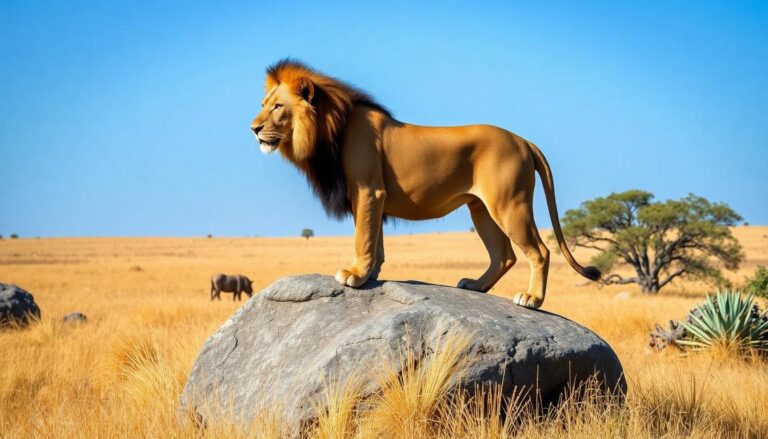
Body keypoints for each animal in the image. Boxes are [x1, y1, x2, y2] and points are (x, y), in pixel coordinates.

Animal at [250, 59, 600, 309]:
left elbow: (363, 237)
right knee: (504, 256)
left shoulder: (368, 190)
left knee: (540, 251)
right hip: (481, 209)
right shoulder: (374, 196)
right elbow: (375, 240)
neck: (332, 126)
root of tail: (524, 141)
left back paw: (532, 299)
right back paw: (476, 285)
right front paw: (371, 274)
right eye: (263, 103)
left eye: (278, 106)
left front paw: (355, 275)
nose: (253, 128)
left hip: (509, 205)